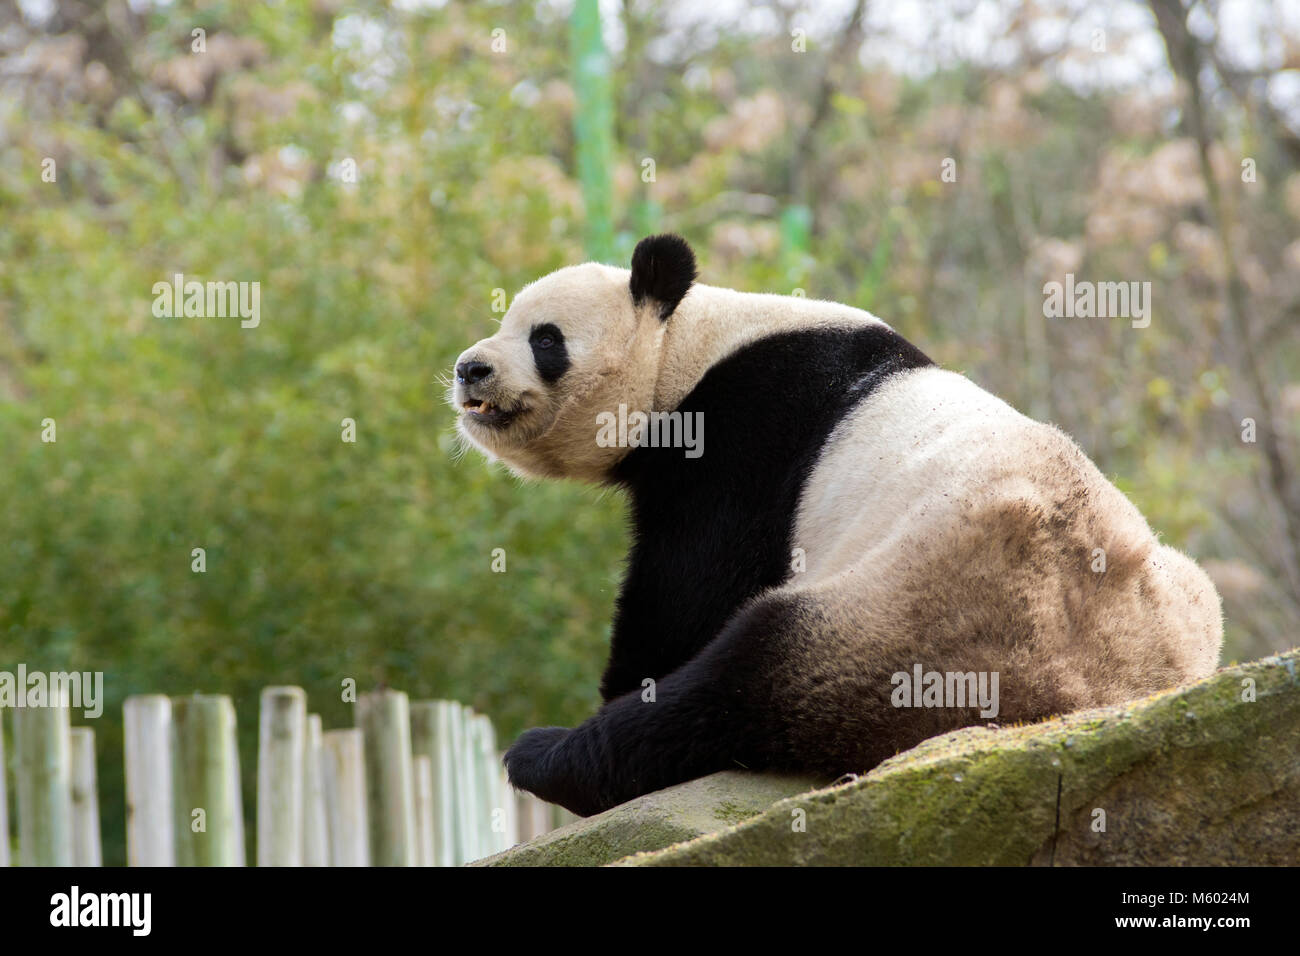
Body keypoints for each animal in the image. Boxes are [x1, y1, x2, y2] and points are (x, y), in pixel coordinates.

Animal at [452, 233, 1223, 818]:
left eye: (545, 339)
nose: (470, 368)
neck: (688, 347)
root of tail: (1096, 691)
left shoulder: (743, 437)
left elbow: (689, 587)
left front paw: (619, 683)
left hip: (934, 608)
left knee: (742, 683)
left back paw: (547, 755)